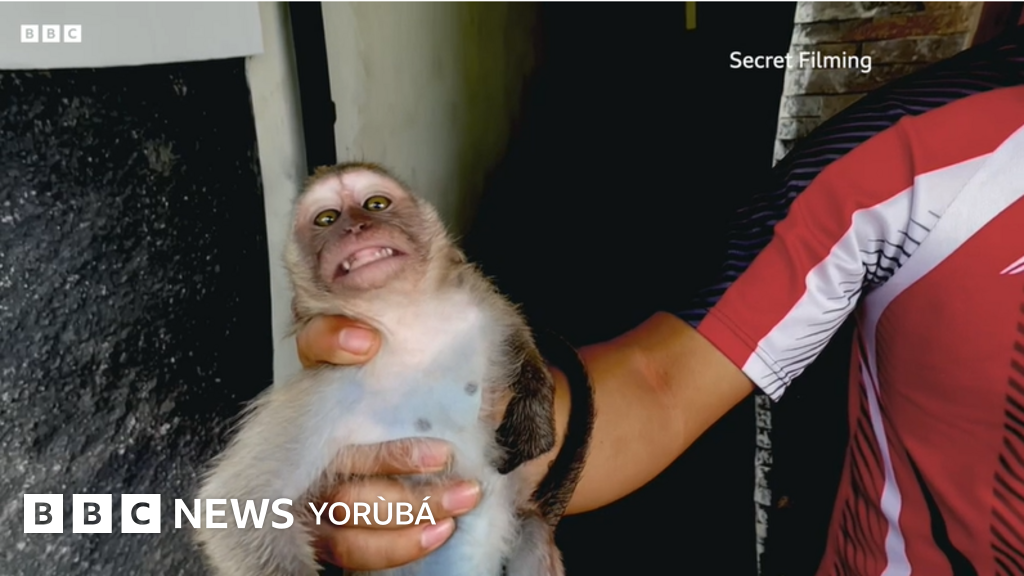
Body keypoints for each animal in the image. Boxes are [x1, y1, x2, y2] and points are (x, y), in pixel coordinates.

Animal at [193, 162, 594, 576]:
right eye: (327, 218)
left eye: (376, 204)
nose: (355, 227)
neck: (407, 327)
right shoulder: (326, 390)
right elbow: (238, 507)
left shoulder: (474, 307)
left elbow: (512, 328)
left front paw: (535, 398)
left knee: (531, 527)